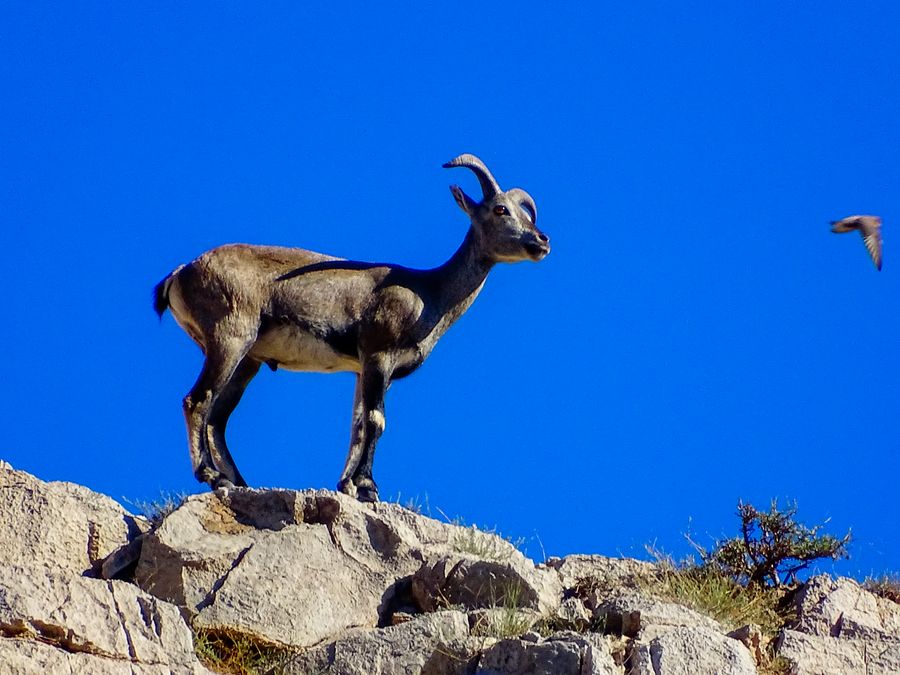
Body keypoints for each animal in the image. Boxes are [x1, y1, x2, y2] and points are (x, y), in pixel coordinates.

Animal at [153, 154, 550, 501]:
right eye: (500, 209)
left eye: (523, 212)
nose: (541, 240)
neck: (429, 293)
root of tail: (179, 274)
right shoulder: (378, 355)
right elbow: (376, 420)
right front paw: (369, 487)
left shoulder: (362, 369)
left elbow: (357, 424)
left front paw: (347, 485)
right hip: (230, 338)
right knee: (198, 400)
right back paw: (212, 475)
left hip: (248, 360)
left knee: (218, 417)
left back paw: (238, 482)